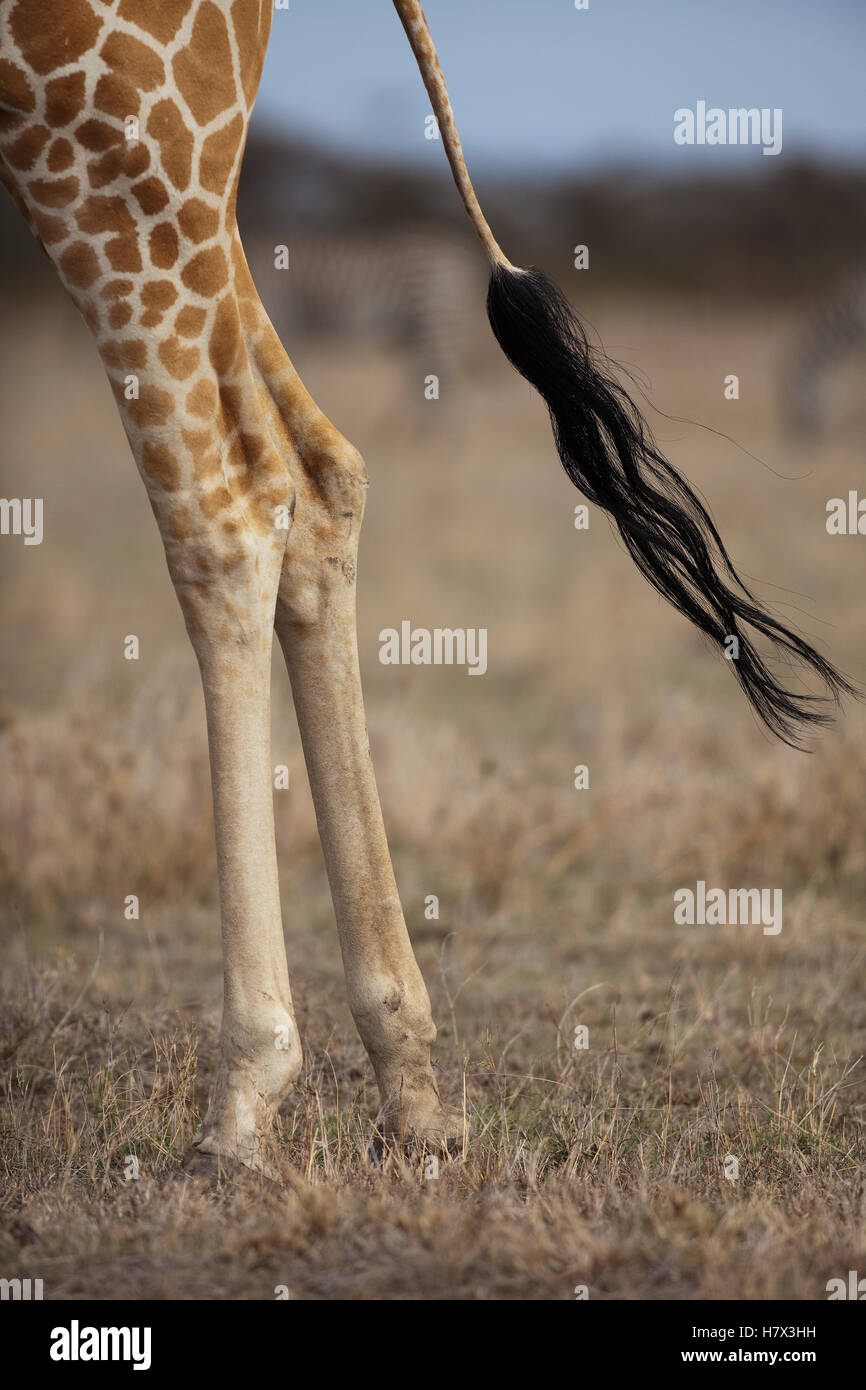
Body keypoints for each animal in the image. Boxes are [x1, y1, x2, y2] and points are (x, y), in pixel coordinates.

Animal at [0, 0, 854, 1176]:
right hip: (191, 175)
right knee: (316, 472)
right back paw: (410, 1088)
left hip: (112, 128)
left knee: (233, 497)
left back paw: (244, 1102)